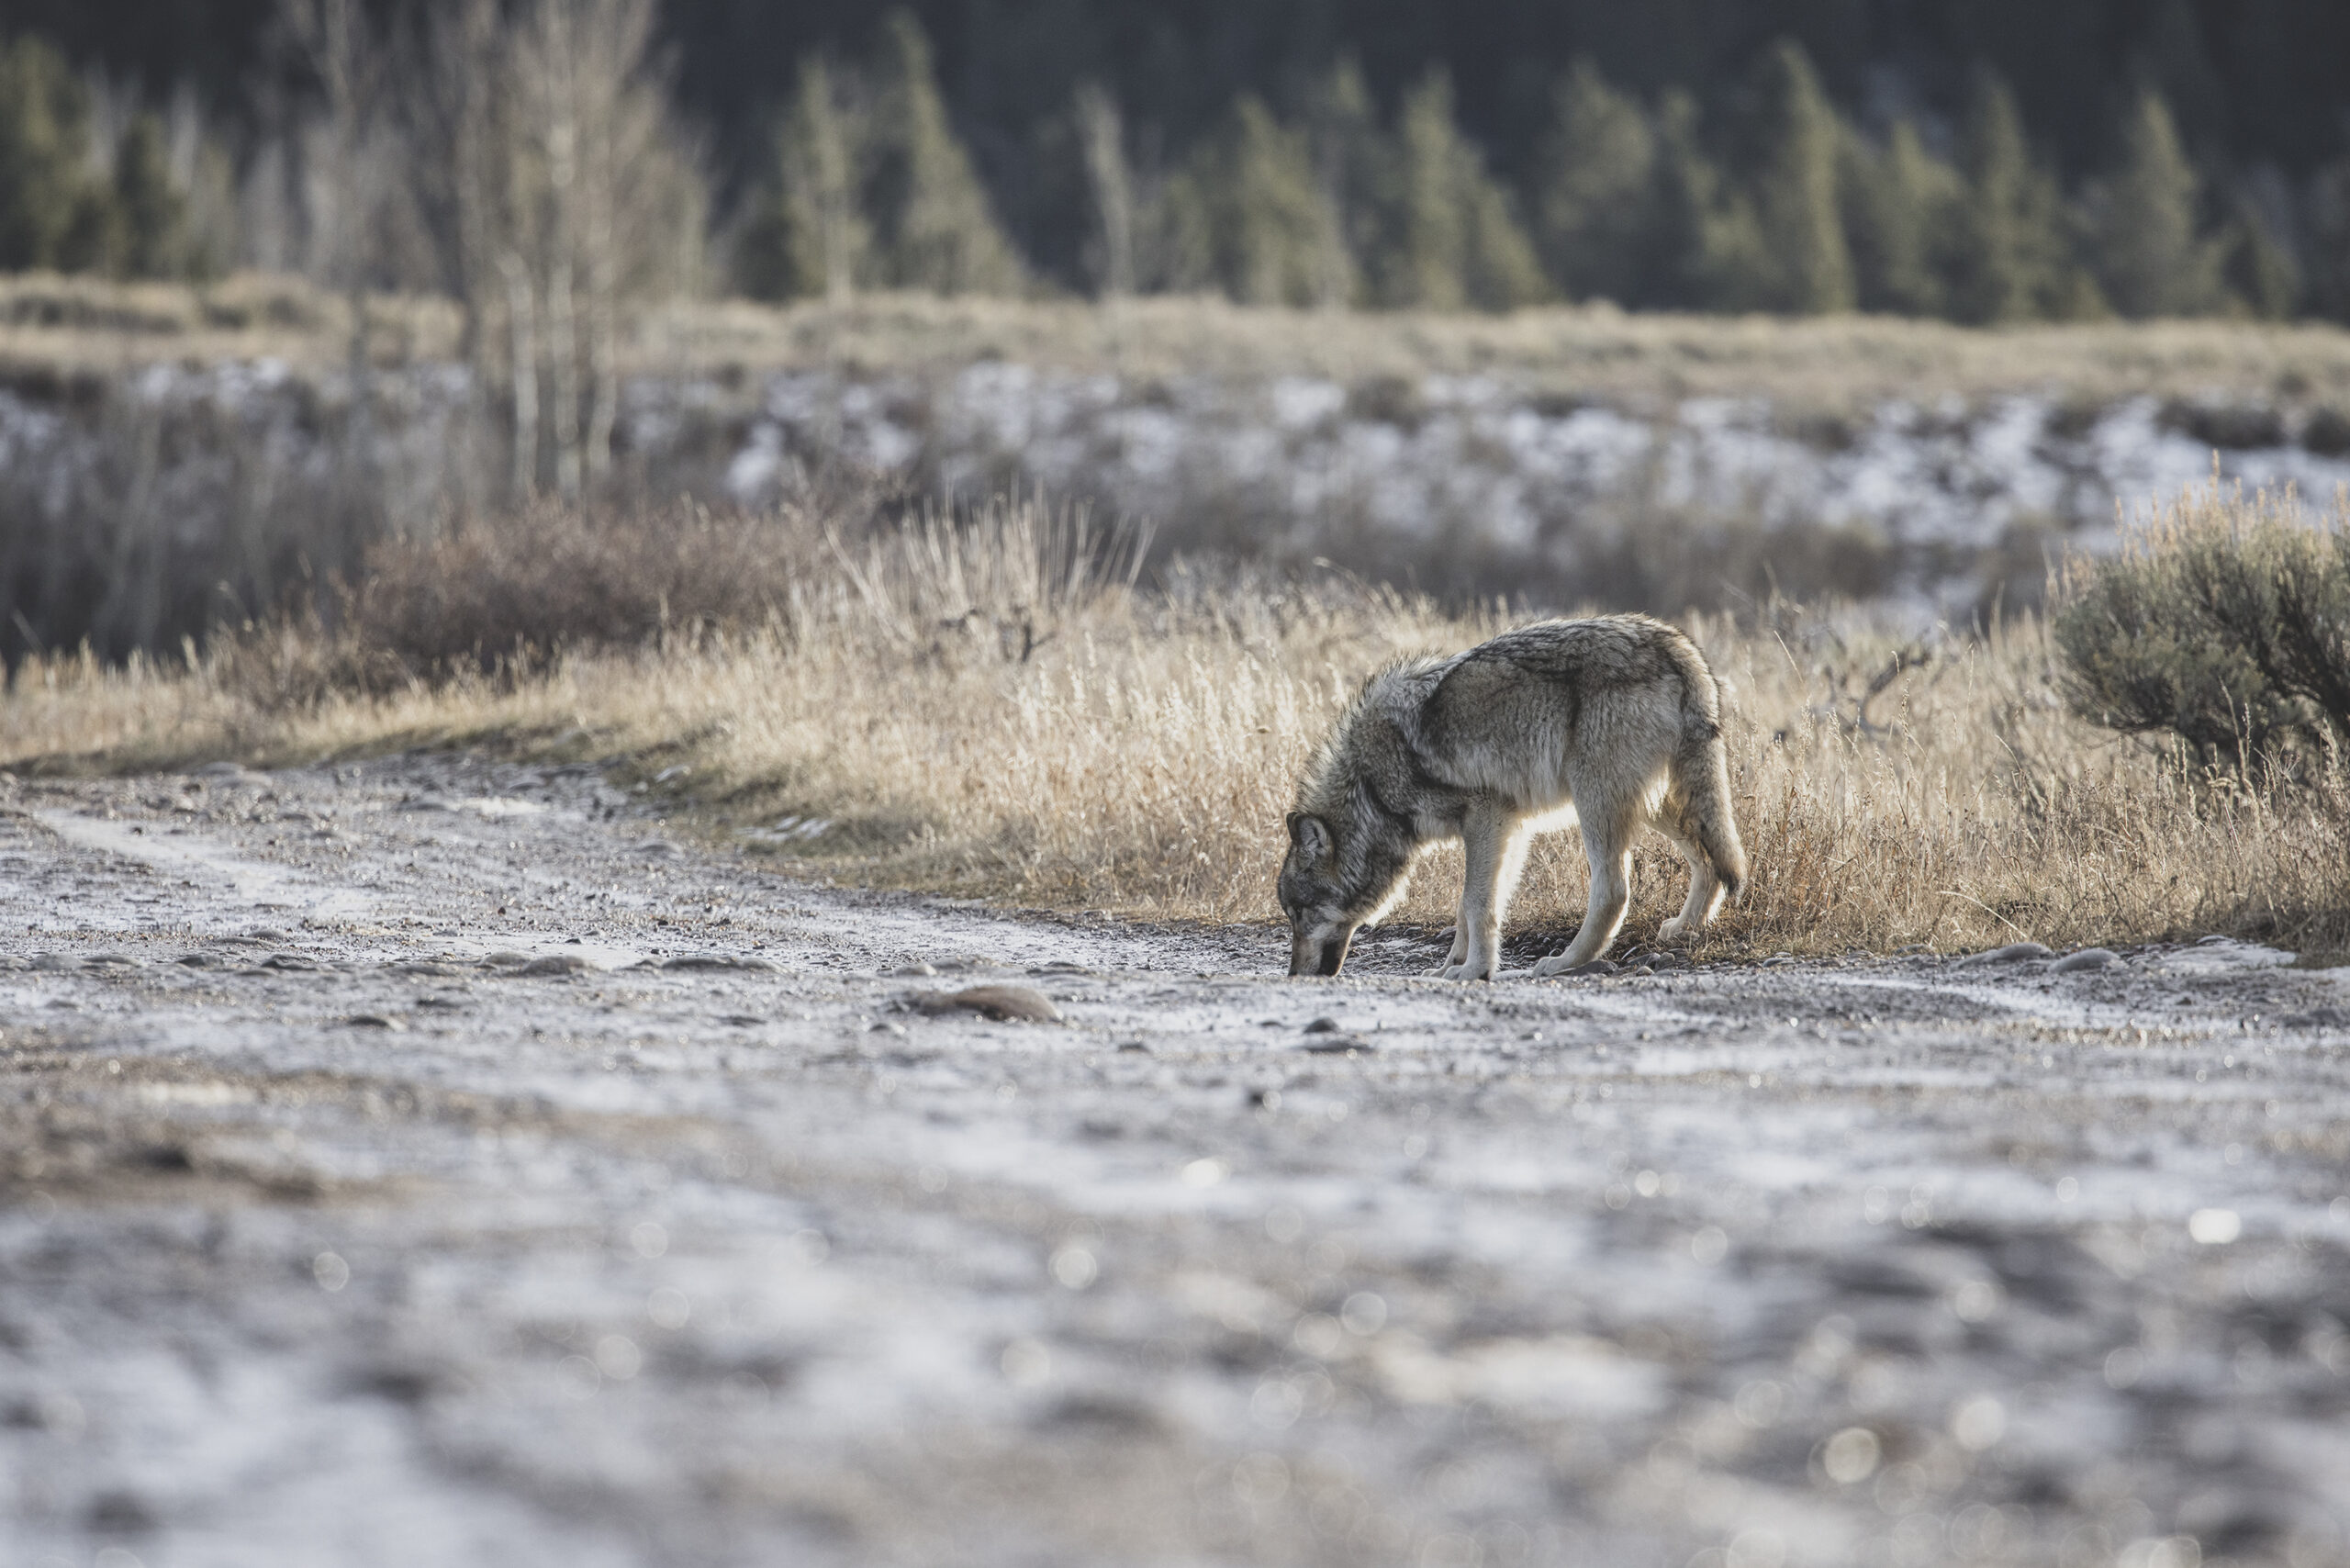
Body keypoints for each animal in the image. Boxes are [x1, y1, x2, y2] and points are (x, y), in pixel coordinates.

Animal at [1278, 614, 1747, 980]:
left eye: (1299, 913)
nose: (1295, 976)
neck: (1372, 787)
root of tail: (1676, 643)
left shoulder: (1486, 816)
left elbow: (1474, 902)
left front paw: (1474, 971)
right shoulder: (1510, 826)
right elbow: (1472, 907)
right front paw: (1453, 965)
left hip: (1595, 801)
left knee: (1614, 891)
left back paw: (1563, 963)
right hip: (1653, 805)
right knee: (1712, 861)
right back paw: (1686, 929)